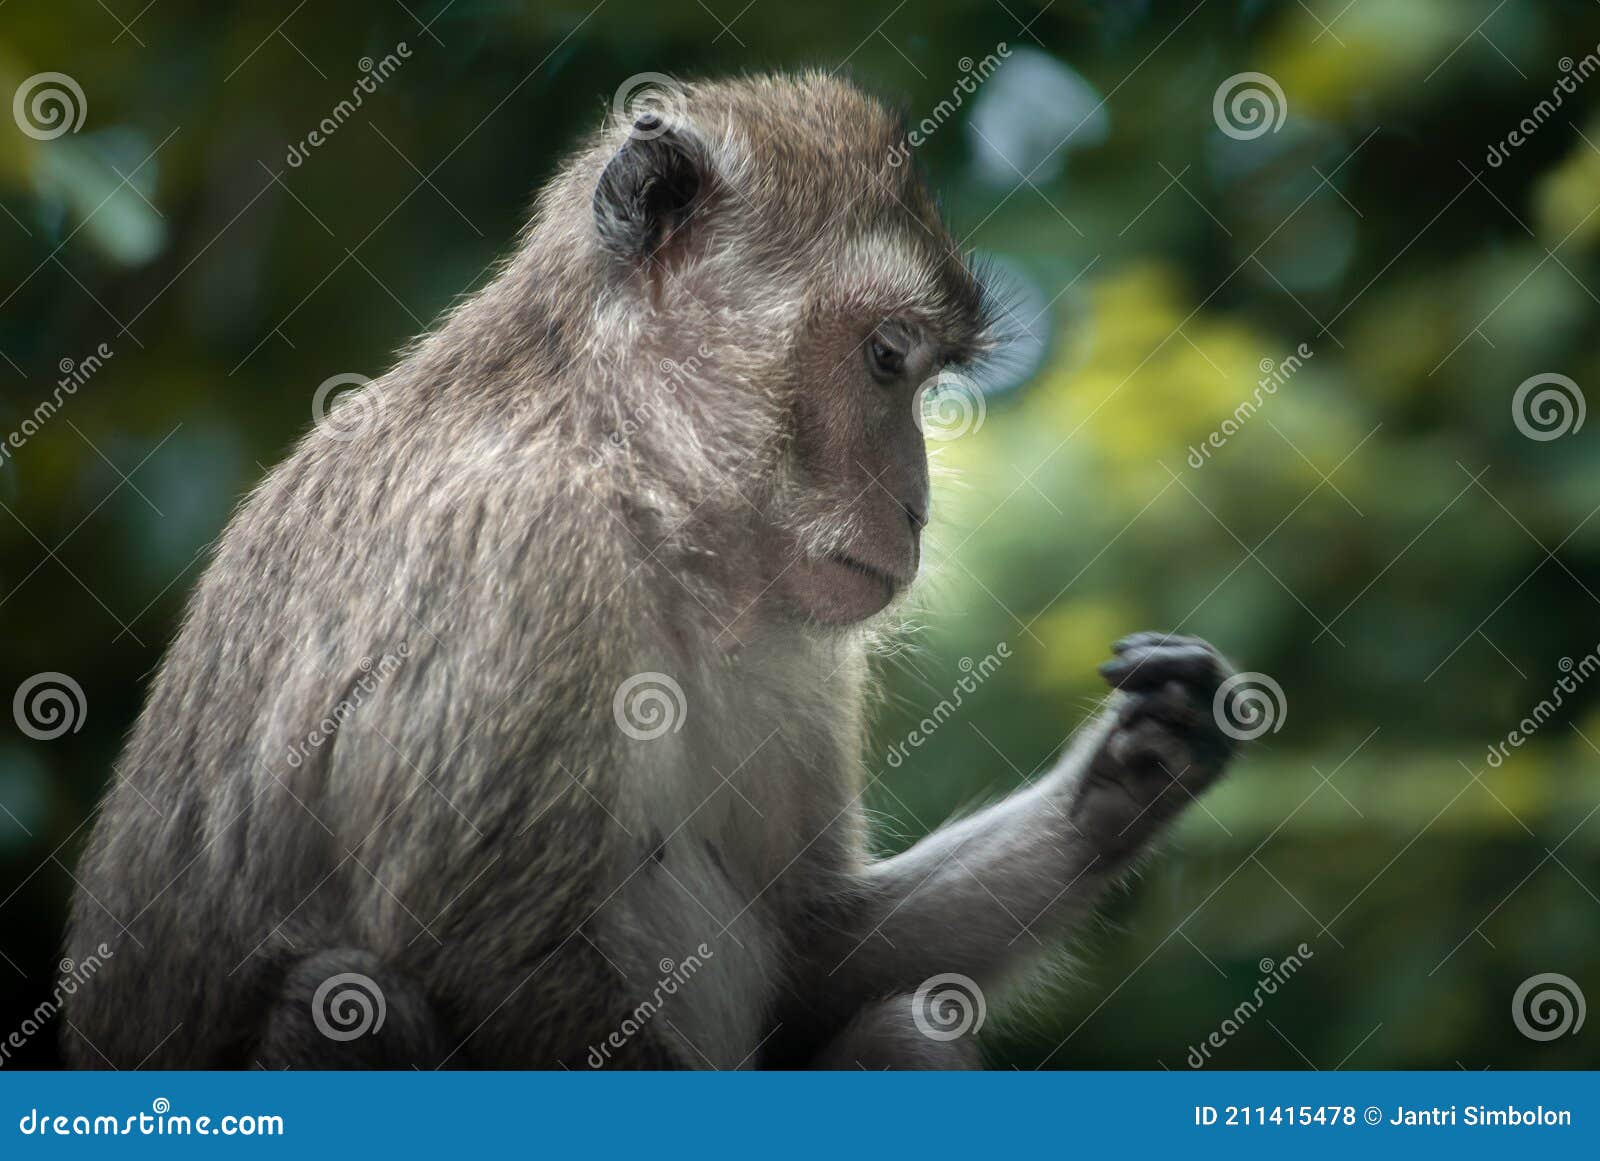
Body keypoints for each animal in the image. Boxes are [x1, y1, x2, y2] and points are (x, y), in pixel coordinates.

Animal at [61, 73, 1241, 1070]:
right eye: (885, 359)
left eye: (917, 370)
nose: (916, 505)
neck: (641, 487)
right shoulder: (526, 550)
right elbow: (483, 946)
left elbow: (819, 953)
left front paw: (1135, 768)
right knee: (344, 999)